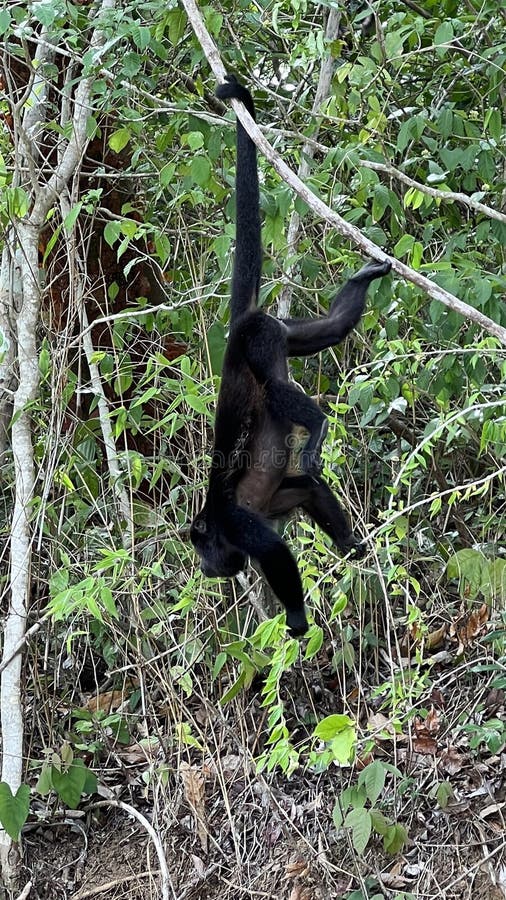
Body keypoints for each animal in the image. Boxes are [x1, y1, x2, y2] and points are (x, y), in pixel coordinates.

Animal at [190, 74, 391, 637]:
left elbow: (276, 551)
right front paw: (349, 544)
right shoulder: (278, 501)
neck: (214, 521)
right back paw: (360, 282)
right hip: (283, 332)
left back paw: (317, 425)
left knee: (277, 392)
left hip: (258, 342)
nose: (206, 568)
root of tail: (240, 324)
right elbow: (307, 491)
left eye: (204, 551)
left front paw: (298, 619)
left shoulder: (237, 522)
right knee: (328, 331)